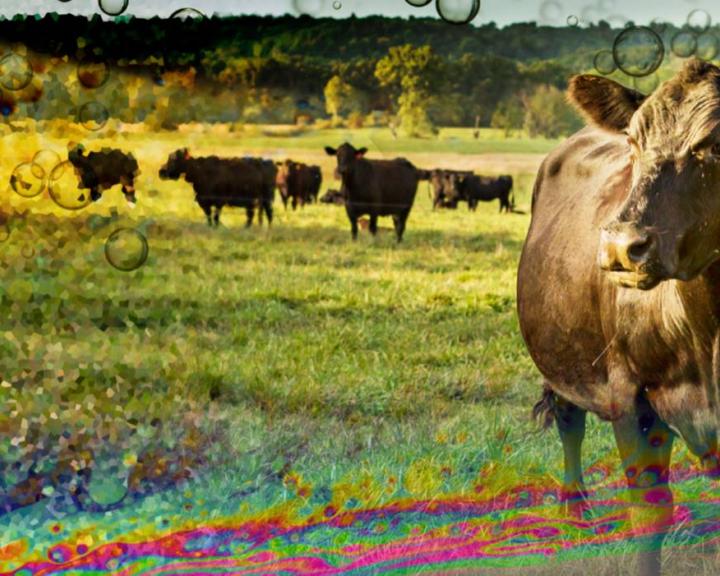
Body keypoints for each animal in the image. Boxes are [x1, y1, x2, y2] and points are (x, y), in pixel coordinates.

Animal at [517, 59, 720, 576]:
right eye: (633, 141)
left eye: (713, 143)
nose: (622, 245)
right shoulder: (631, 396)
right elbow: (649, 514)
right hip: (564, 359)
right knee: (569, 421)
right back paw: (575, 511)